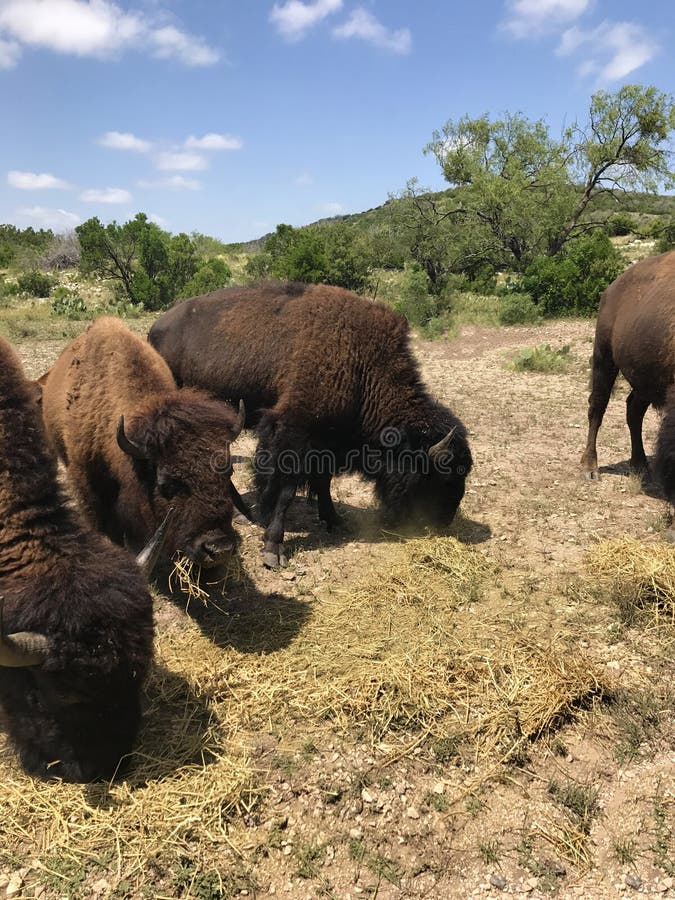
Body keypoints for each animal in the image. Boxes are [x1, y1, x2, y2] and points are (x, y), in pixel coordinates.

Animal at [148, 282, 472, 567]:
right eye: (443, 476)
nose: (446, 519)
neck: (362, 367)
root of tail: (156, 328)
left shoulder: (324, 442)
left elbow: (321, 481)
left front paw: (333, 520)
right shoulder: (294, 436)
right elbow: (287, 490)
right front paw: (274, 549)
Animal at [581, 249, 675, 519]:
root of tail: (612, 288)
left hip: (644, 378)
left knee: (633, 410)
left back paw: (640, 465)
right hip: (604, 356)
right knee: (597, 407)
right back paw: (590, 469)